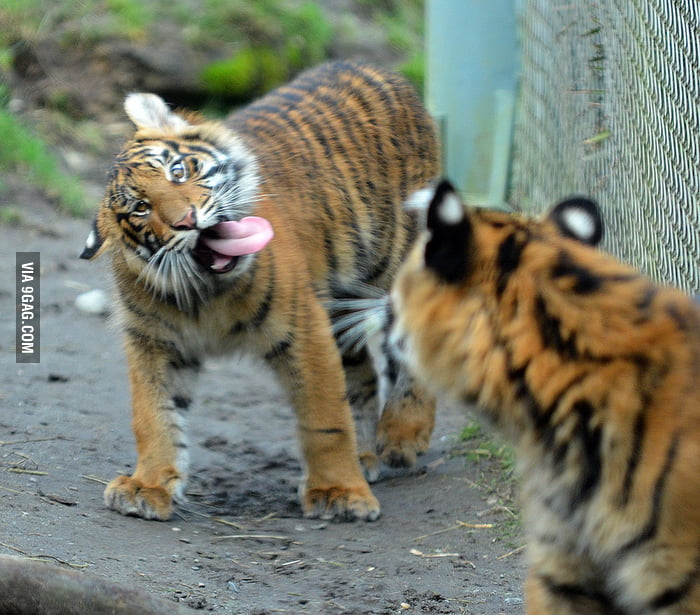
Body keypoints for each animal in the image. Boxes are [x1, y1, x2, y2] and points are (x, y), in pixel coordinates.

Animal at [79, 61, 439, 522]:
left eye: (177, 171)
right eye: (141, 208)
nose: (187, 220)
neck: (205, 292)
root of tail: (374, 68)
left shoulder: (304, 330)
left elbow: (325, 417)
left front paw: (340, 492)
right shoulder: (154, 341)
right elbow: (154, 414)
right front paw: (148, 485)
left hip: (395, 262)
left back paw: (401, 436)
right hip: (342, 308)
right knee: (361, 377)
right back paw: (367, 457)